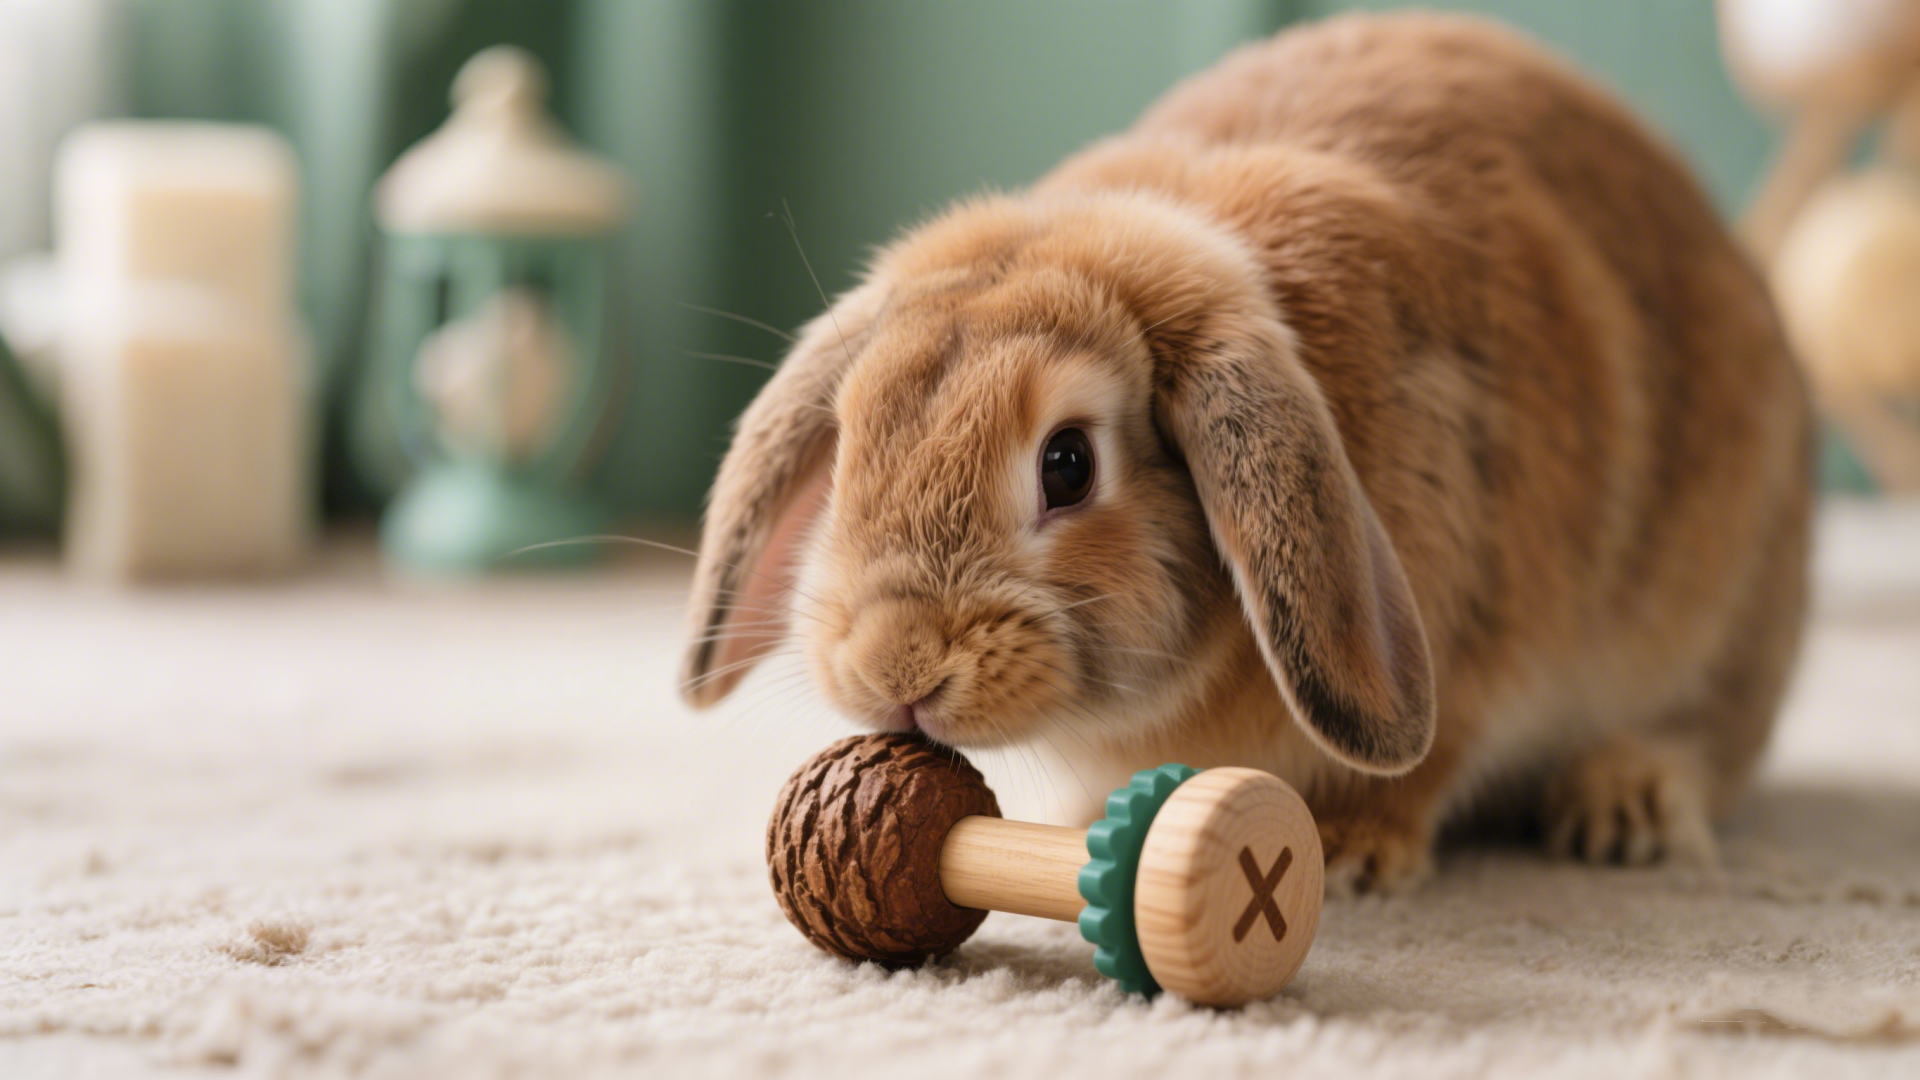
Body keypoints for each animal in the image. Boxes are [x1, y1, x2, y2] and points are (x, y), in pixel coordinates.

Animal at [681, 12, 1813, 894]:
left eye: (1067, 465)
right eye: (851, 446)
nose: (895, 668)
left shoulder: (1477, 647)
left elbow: (1422, 765)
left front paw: (1355, 852)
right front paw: (1082, 829)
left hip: (1724, 617)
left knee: (1708, 738)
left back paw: (1627, 807)